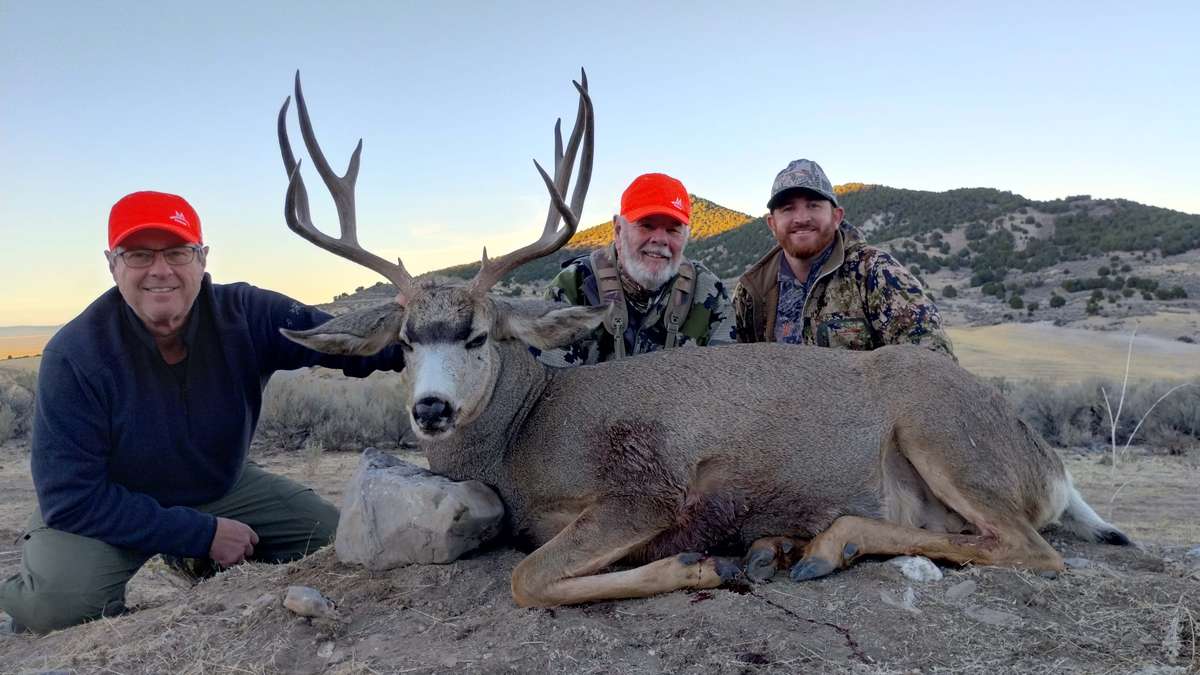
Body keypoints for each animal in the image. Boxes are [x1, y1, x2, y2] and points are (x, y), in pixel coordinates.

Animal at [274, 71, 1132, 608]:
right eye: (404, 342)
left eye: (480, 335)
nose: (431, 410)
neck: (528, 432)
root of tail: (1052, 465)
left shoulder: (646, 484)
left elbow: (530, 578)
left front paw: (695, 565)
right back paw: (794, 546)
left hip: (940, 426)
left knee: (1029, 544)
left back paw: (811, 545)